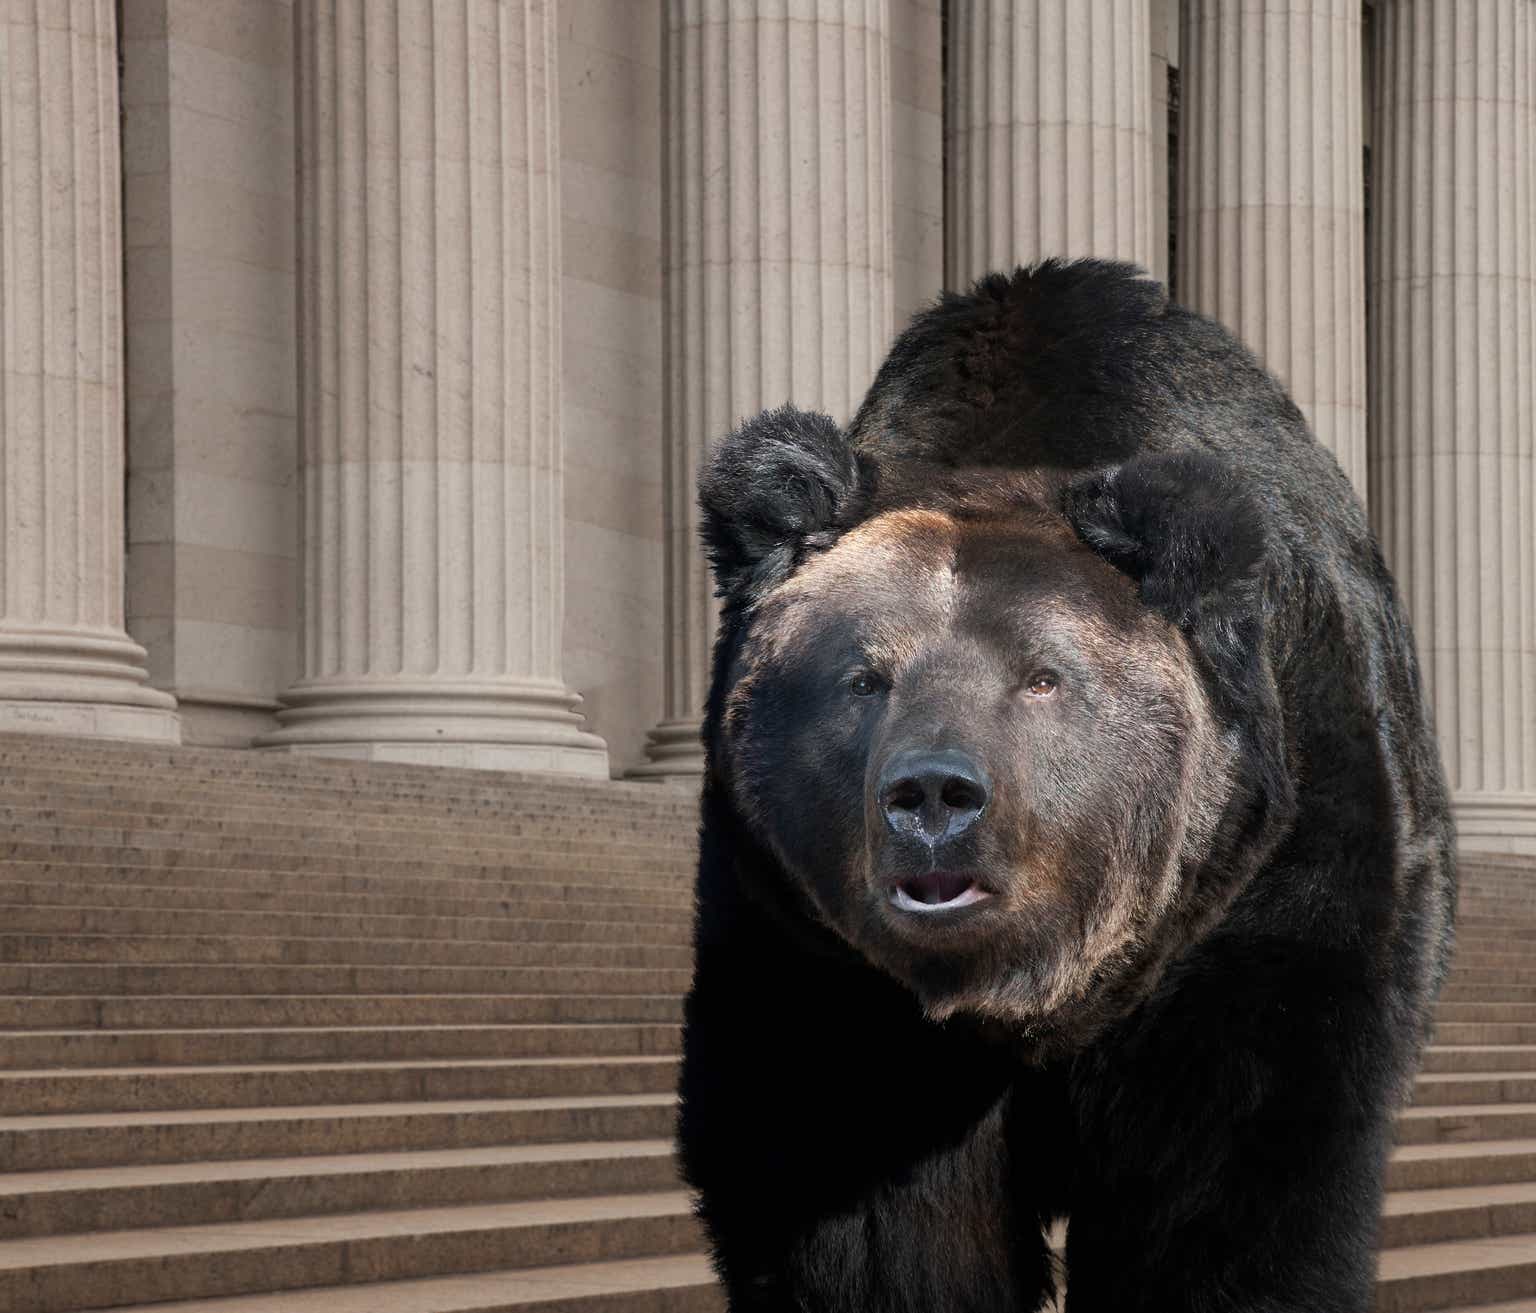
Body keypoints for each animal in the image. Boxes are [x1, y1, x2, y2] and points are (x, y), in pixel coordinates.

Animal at [675, 260, 1457, 1313]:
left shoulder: (1267, 891)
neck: (1032, 994)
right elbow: (871, 1220)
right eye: (863, 676)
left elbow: (1235, 1179)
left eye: (1042, 676)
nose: (933, 794)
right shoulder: (814, 952)